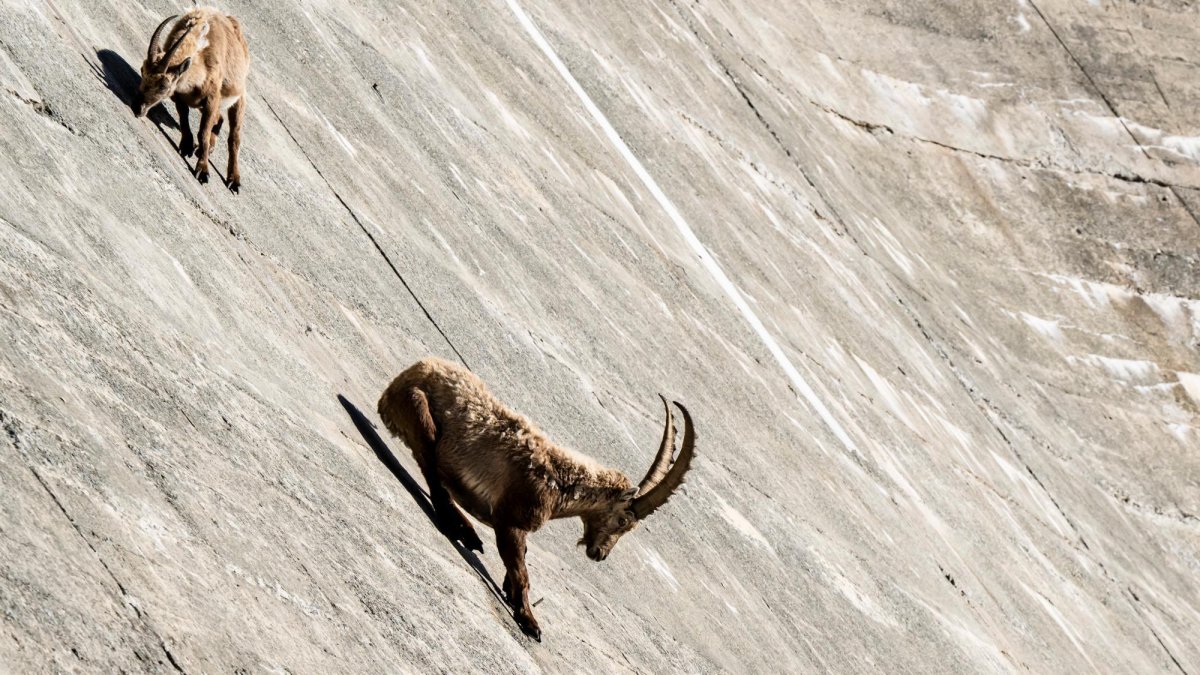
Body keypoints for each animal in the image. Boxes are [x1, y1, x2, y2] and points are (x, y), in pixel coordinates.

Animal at [137, 8, 250, 192]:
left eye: (163, 85)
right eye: (142, 70)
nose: (138, 107)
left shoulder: (212, 98)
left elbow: (203, 132)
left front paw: (203, 171)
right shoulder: (179, 95)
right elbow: (184, 118)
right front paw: (187, 146)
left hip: (239, 99)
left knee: (234, 137)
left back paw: (234, 180)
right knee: (219, 119)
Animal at [378, 357, 695, 641]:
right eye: (623, 520)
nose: (600, 554)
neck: (560, 483)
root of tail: (401, 381)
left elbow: (521, 561)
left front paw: (510, 594)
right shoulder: (511, 522)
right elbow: (523, 572)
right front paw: (530, 622)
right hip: (422, 415)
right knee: (433, 473)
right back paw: (464, 531)